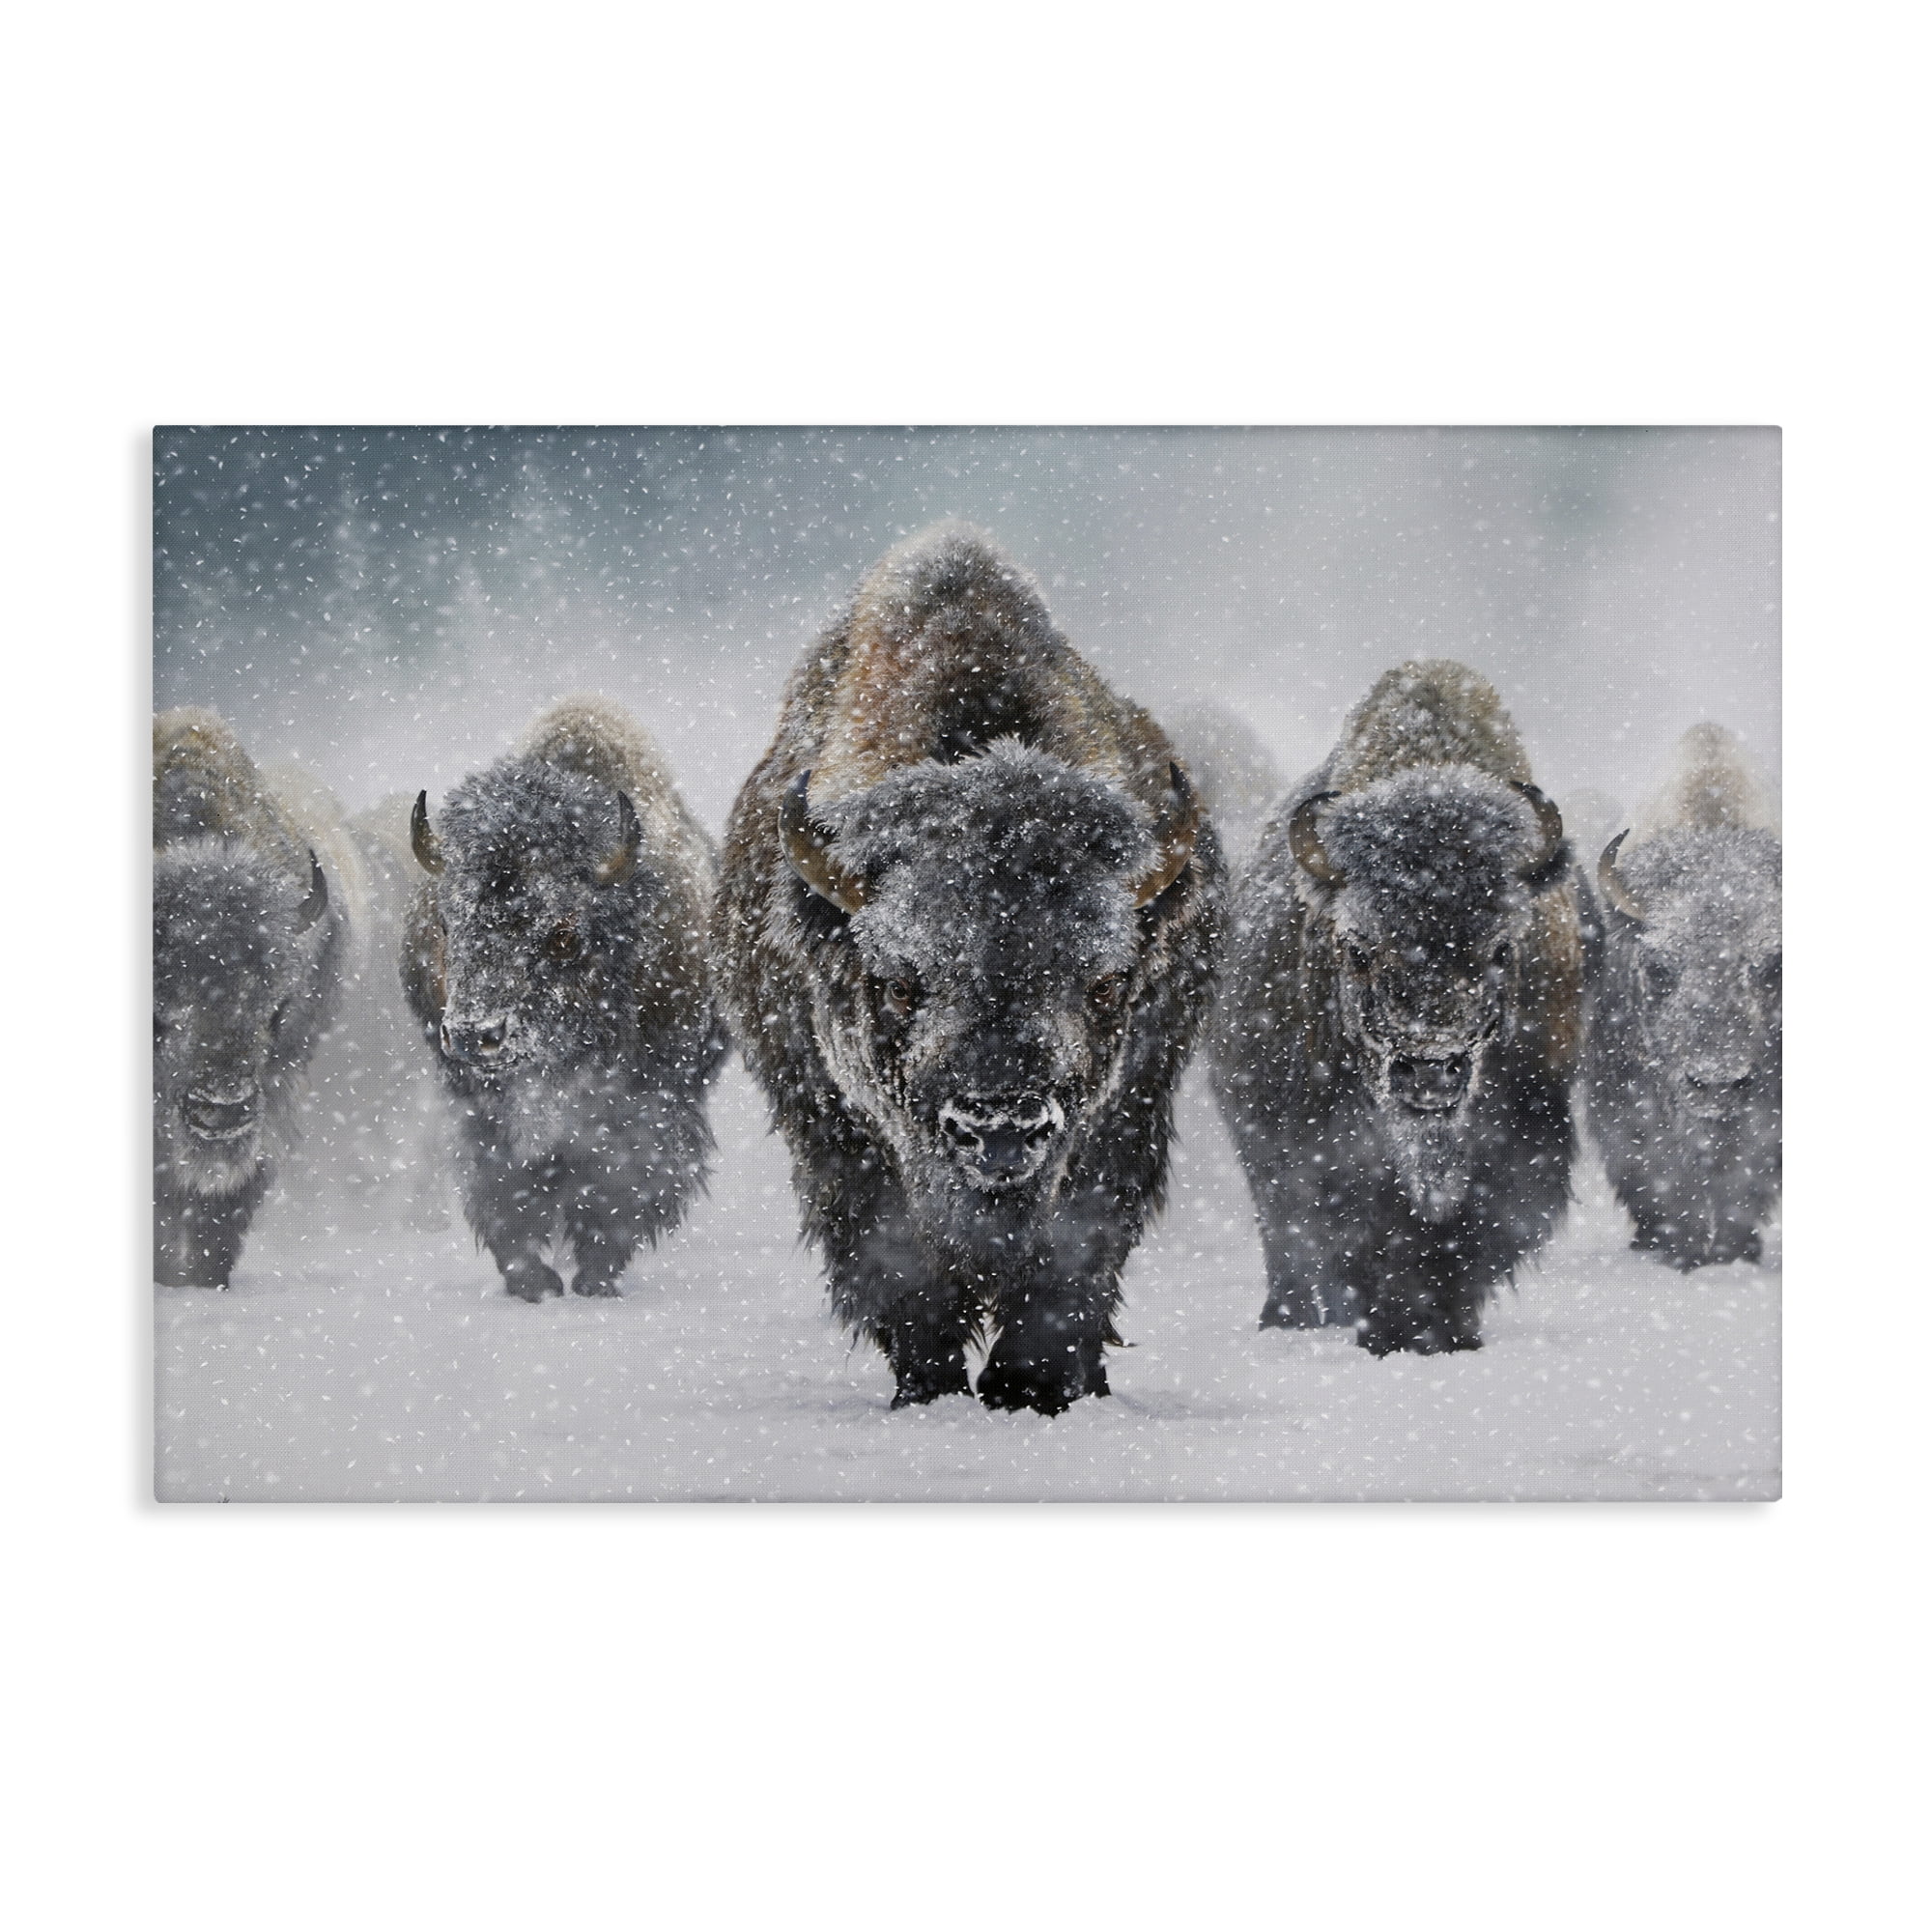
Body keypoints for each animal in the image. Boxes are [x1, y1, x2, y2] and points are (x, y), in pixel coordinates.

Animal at [402, 699, 726, 1301]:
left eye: (562, 935)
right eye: (448, 923)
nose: (475, 1035)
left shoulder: (653, 1100)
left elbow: (624, 1184)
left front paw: (595, 1276)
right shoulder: (478, 1106)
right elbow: (502, 1187)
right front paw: (533, 1281)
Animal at [714, 523, 1224, 1413]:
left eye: (1105, 983)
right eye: (897, 983)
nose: (1001, 1125)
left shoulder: (1124, 1115)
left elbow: (1070, 1262)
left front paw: (1031, 1387)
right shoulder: (839, 1136)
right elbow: (899, 1269)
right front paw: (932, 1387)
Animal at [1211, 661, 1582, 1355]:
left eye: (1501, 947)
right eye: (1358, 948)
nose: (1430, 1071)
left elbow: (1471, 1235)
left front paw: (1446, 1332)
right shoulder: (1321, 1144)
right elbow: (1363, 1230)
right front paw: (1391, 1331)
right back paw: (1289, 1316)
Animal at [1586, 724, 1781, 1269]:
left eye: (1773, 967)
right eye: (1658, 968)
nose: (1716, 1083)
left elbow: (1744, 1184)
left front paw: (1735, 1252)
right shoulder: (1628, 1106)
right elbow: (1662, 1179)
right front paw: (1673, 1249)